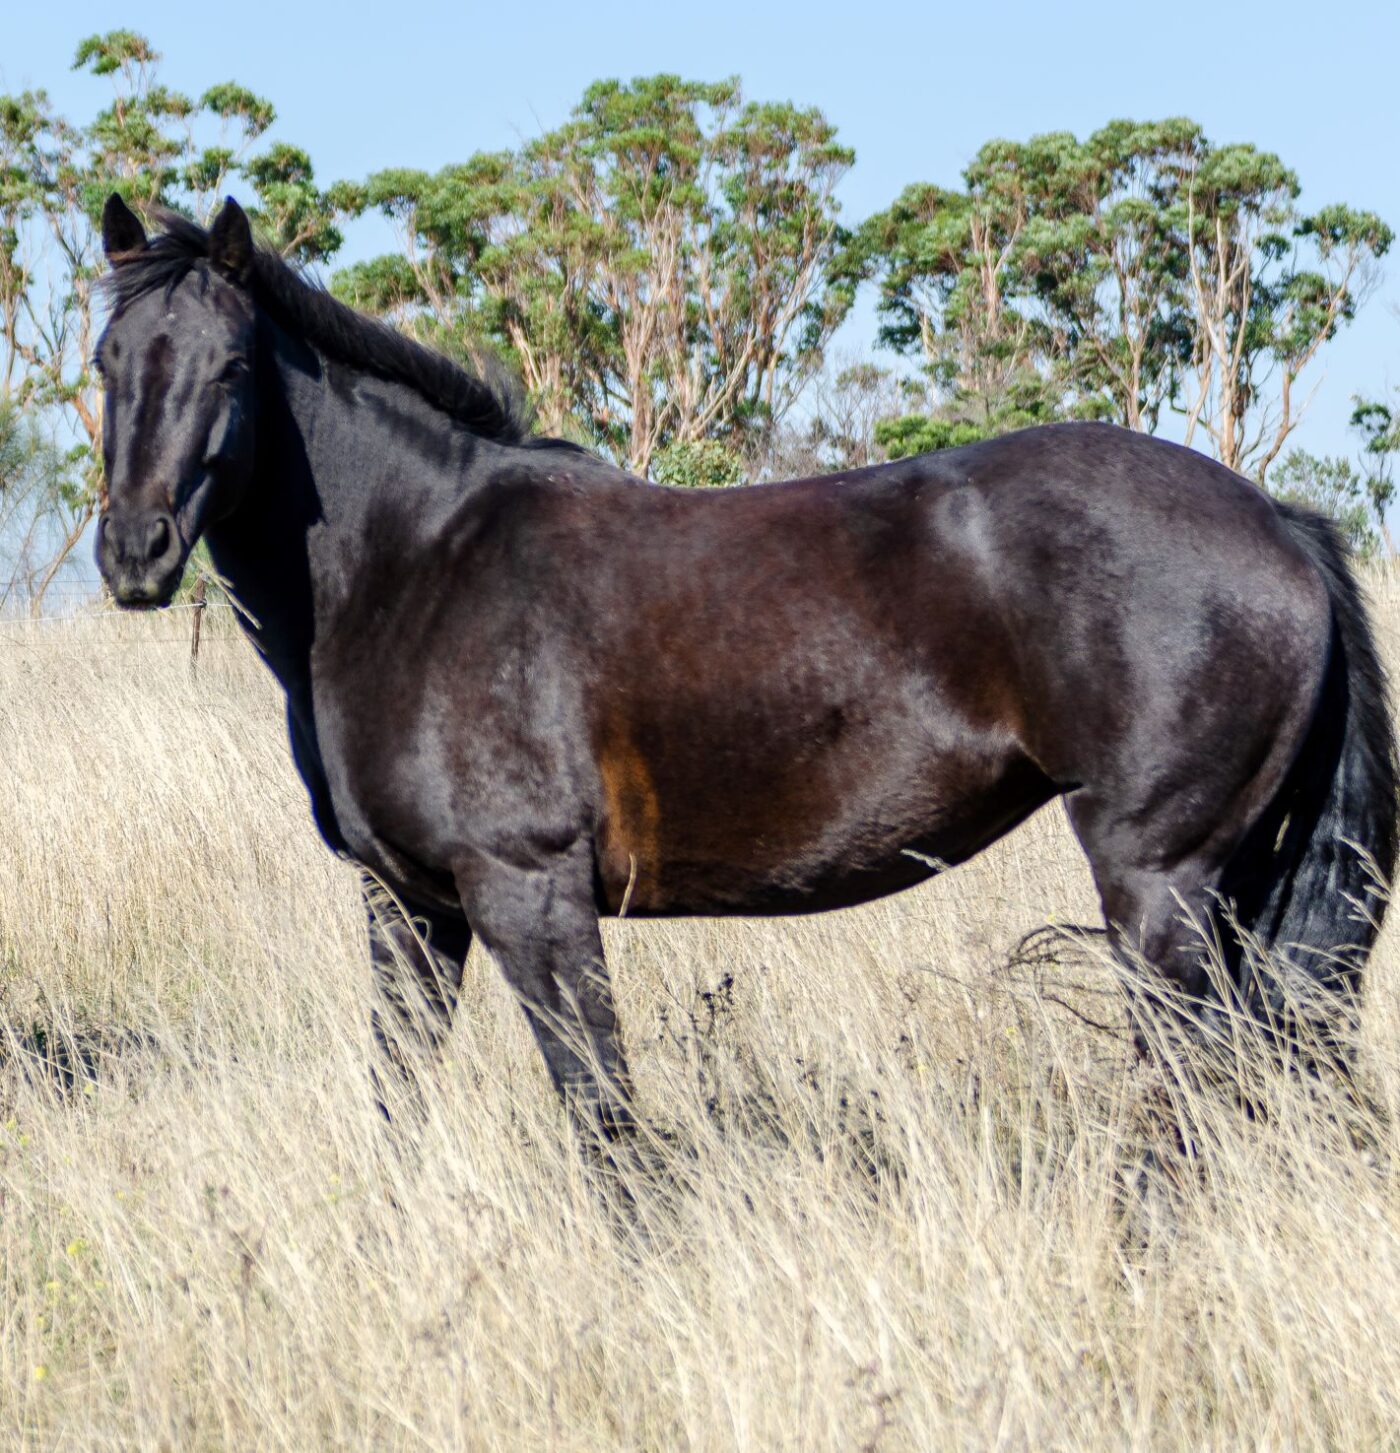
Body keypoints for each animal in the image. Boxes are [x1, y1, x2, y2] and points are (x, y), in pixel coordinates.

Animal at [93, 194, 1397, 1146]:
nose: (133, 554)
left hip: (1159, 883)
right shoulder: (408, 904)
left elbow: (605, 1119)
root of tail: (1277, 523)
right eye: (108, 359)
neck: (417, 560)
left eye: (230, 367)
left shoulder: (529, 894)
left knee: (1187, 1089)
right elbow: (399, 1106)